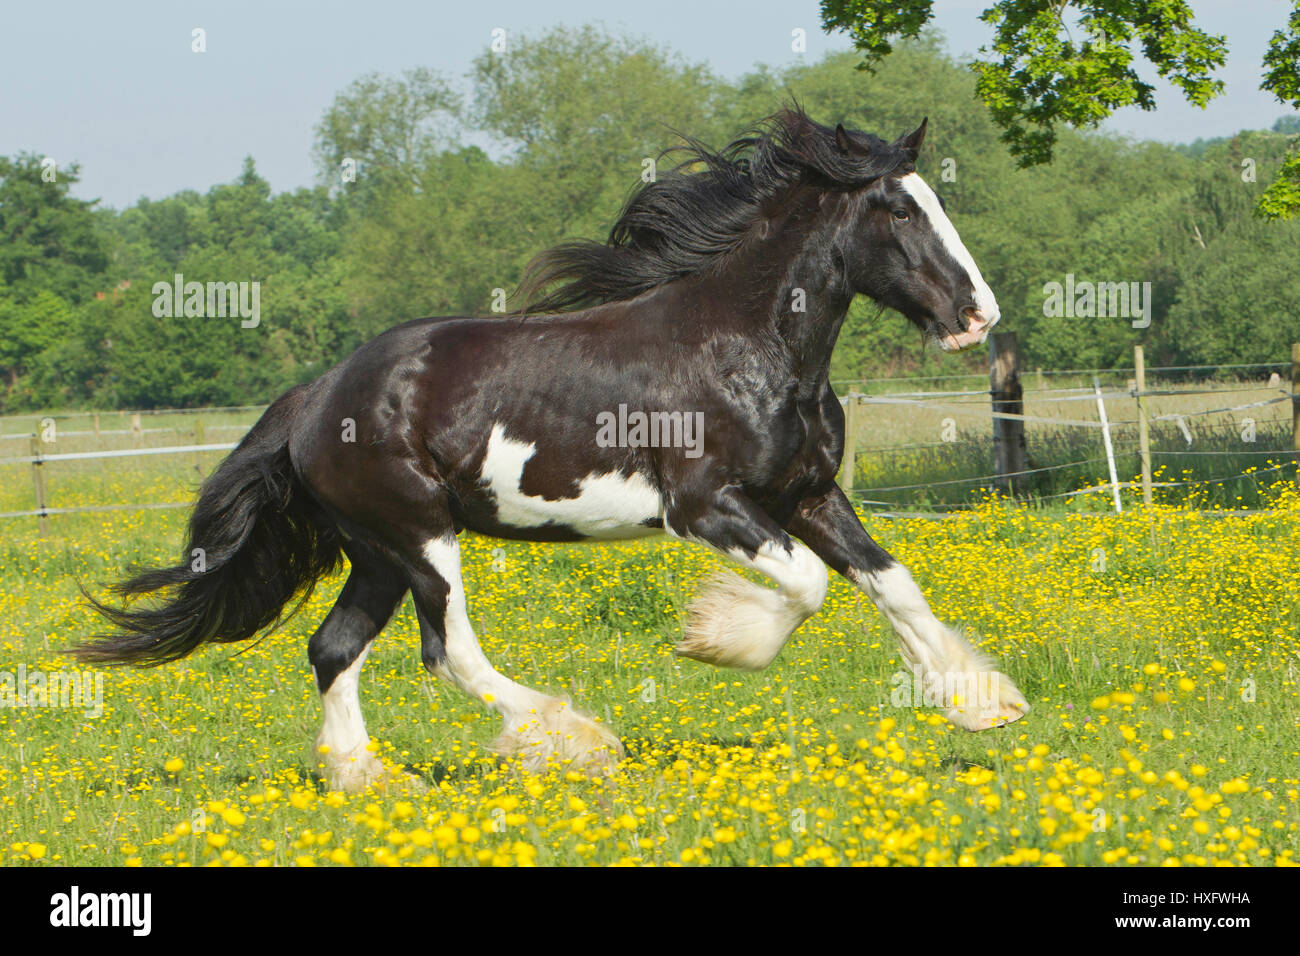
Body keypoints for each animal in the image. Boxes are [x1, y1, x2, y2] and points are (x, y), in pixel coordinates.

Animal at [75, 107, 1028, 793]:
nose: (977, 315)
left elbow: (893, 583)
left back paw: (367, 780)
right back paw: (574, 742)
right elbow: (807, 586)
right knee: (450, 652)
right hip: (420, 536)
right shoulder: (706, 507)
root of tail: (316, 400)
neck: (746, 346)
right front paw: (713, 640)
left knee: (332, 647)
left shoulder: (809, 494)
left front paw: (984, 704)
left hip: (376, 553)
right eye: (899, 208)